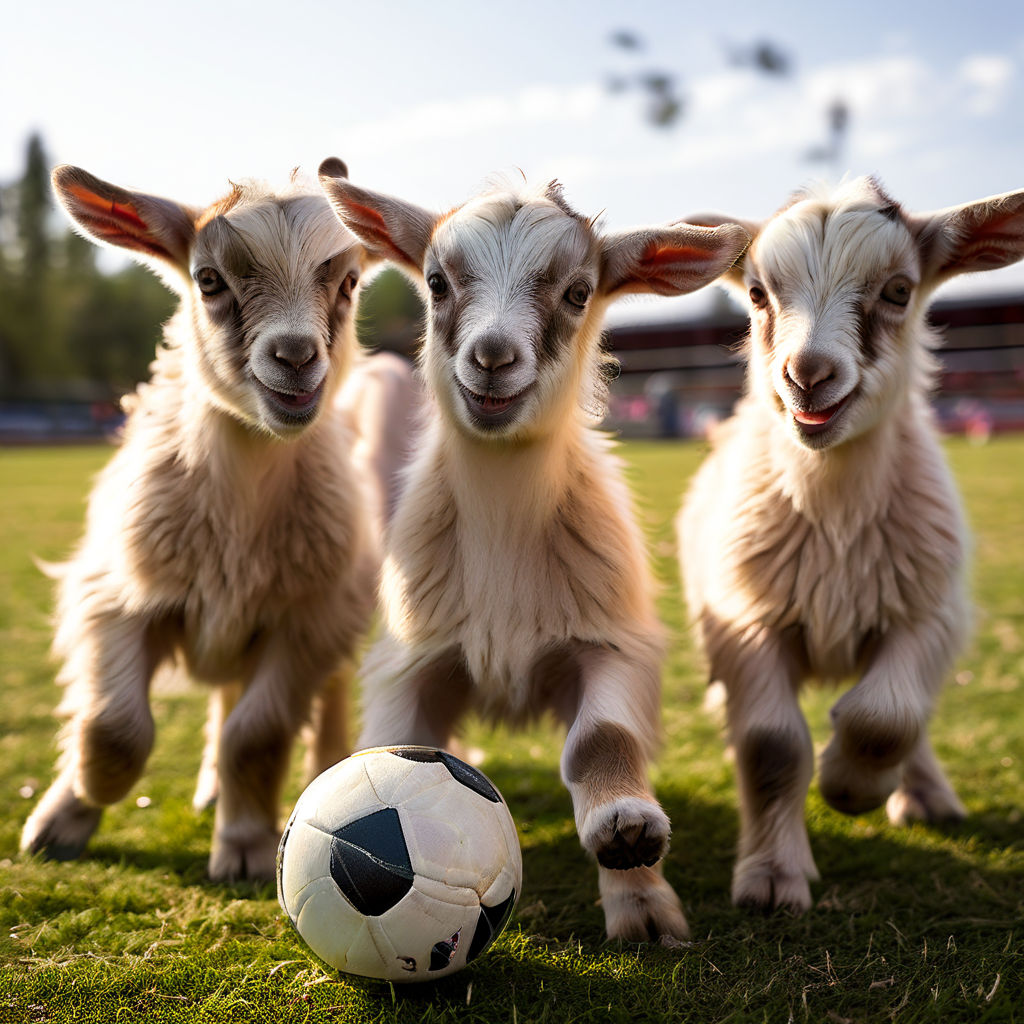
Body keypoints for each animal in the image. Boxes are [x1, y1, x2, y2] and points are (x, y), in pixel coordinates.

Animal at [21, 163, 404, 881]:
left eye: (349, 282)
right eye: (209, 280)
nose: (294, 357)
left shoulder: (304, 623)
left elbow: (255, 737)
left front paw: (246, 848)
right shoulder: (114, 596)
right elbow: (114, 728)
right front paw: (64, 815)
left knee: (315, 704)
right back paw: (205, 790)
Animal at [319, 159, 749, 942]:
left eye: (578, 291)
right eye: (436, 281)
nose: (492, 358)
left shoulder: (609, 640)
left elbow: (600, 738)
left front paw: (634, 866)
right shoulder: (411, 659)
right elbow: (389, 748)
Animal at [678, 177, 1024, 911]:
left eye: (899, 290)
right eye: (757, 293)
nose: (807, 375)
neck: (835, 509)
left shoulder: (927, 615)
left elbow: (883, 717)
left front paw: (849, 786)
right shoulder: (747, 622)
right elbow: (771, 745)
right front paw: (772, 878)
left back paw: (925, 797)